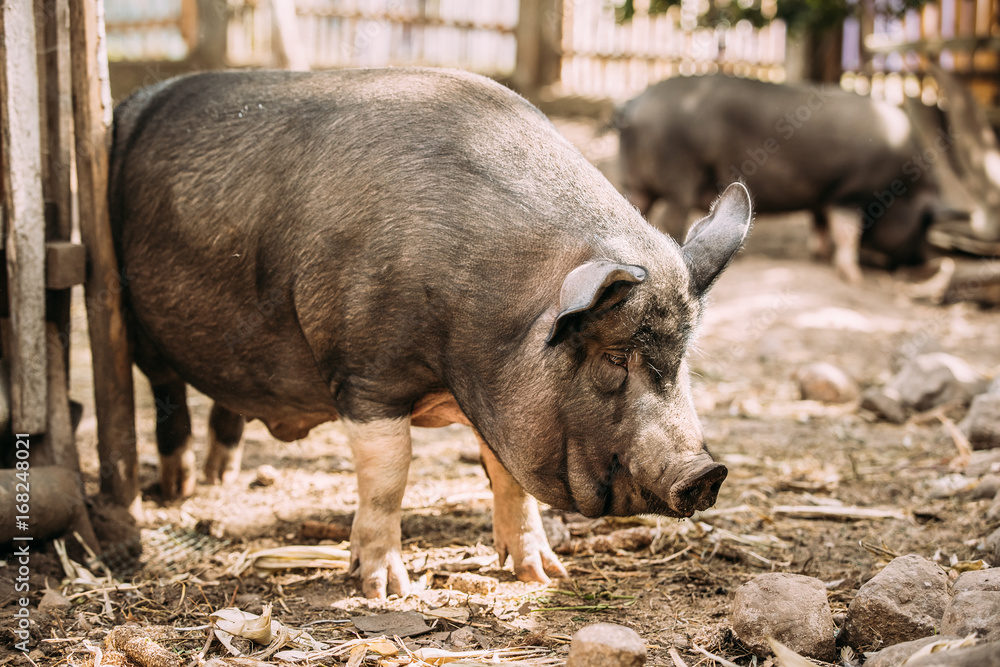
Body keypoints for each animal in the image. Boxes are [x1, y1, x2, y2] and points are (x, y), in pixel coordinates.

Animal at [109, 68, 751, 598]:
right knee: (166, 392)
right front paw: (386, 590)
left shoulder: (496, 403)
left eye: (680, 357)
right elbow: (390, 477)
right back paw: (178, 490)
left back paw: (218, 477)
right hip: (135, 319)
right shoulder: (367, 372)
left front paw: (545, 575)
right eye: (616, 356)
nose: (707, 473)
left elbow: (509, 482)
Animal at [615, 74, 944, 284]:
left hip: (635, 183)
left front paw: (820, 256)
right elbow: (848, 232)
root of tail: (631, 105)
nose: (931, 265)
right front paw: (855, 279)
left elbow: (821, 225)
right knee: (672, 219)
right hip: (679, 179)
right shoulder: (850, 195)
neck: (904, 187)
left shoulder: (824, 196)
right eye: (926, 222)